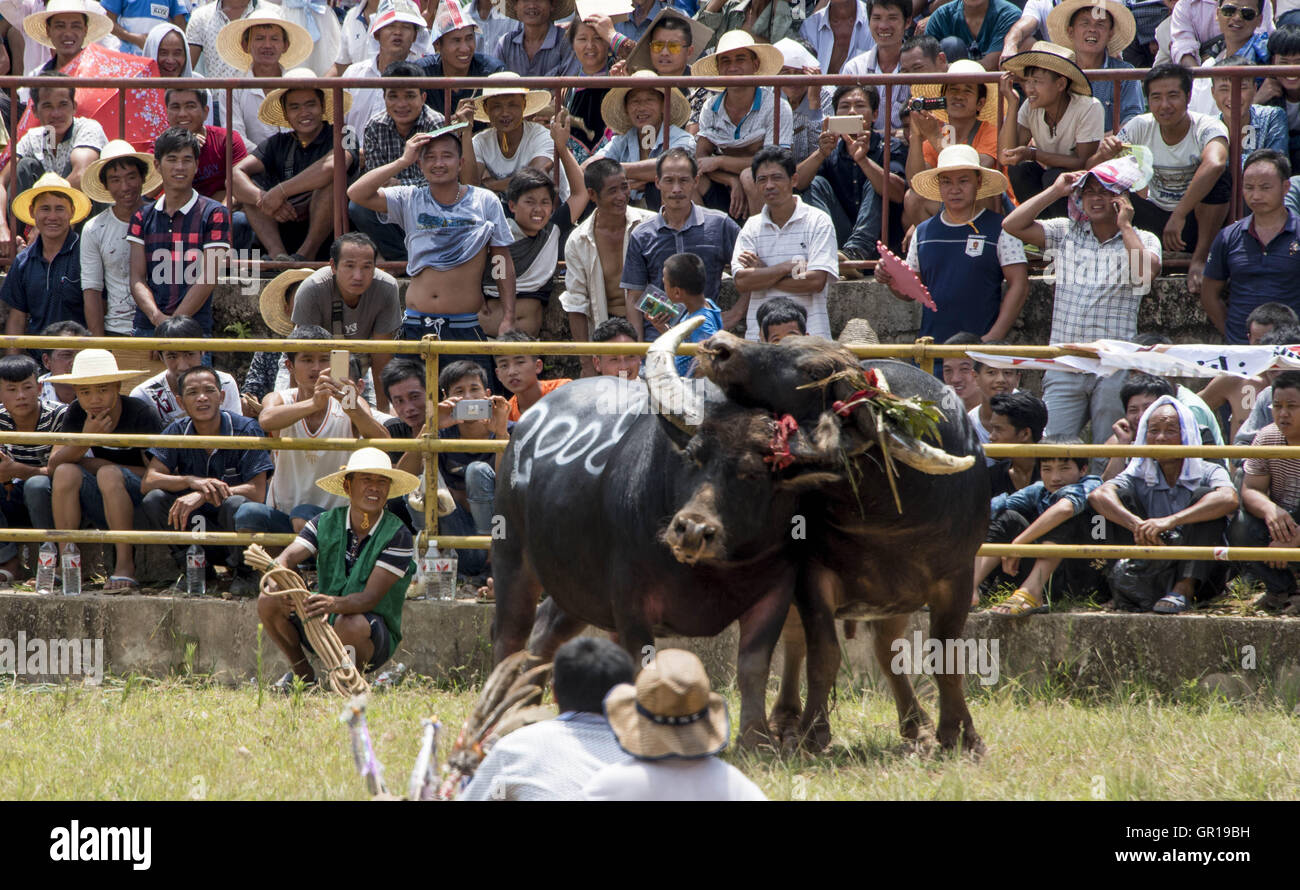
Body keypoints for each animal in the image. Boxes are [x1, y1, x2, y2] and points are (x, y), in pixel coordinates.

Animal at [696, 330, 990, 756]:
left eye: (813, 370)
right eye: (784, 341)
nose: (721, 347)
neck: (887, 515)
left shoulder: (957, 577)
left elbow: (944, 654)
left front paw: (961, 733)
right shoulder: (812, 577)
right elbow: (823, 655)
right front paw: (813, 731)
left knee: (886, 649)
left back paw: (915, 724)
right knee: (797, 643)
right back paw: (787, 721)